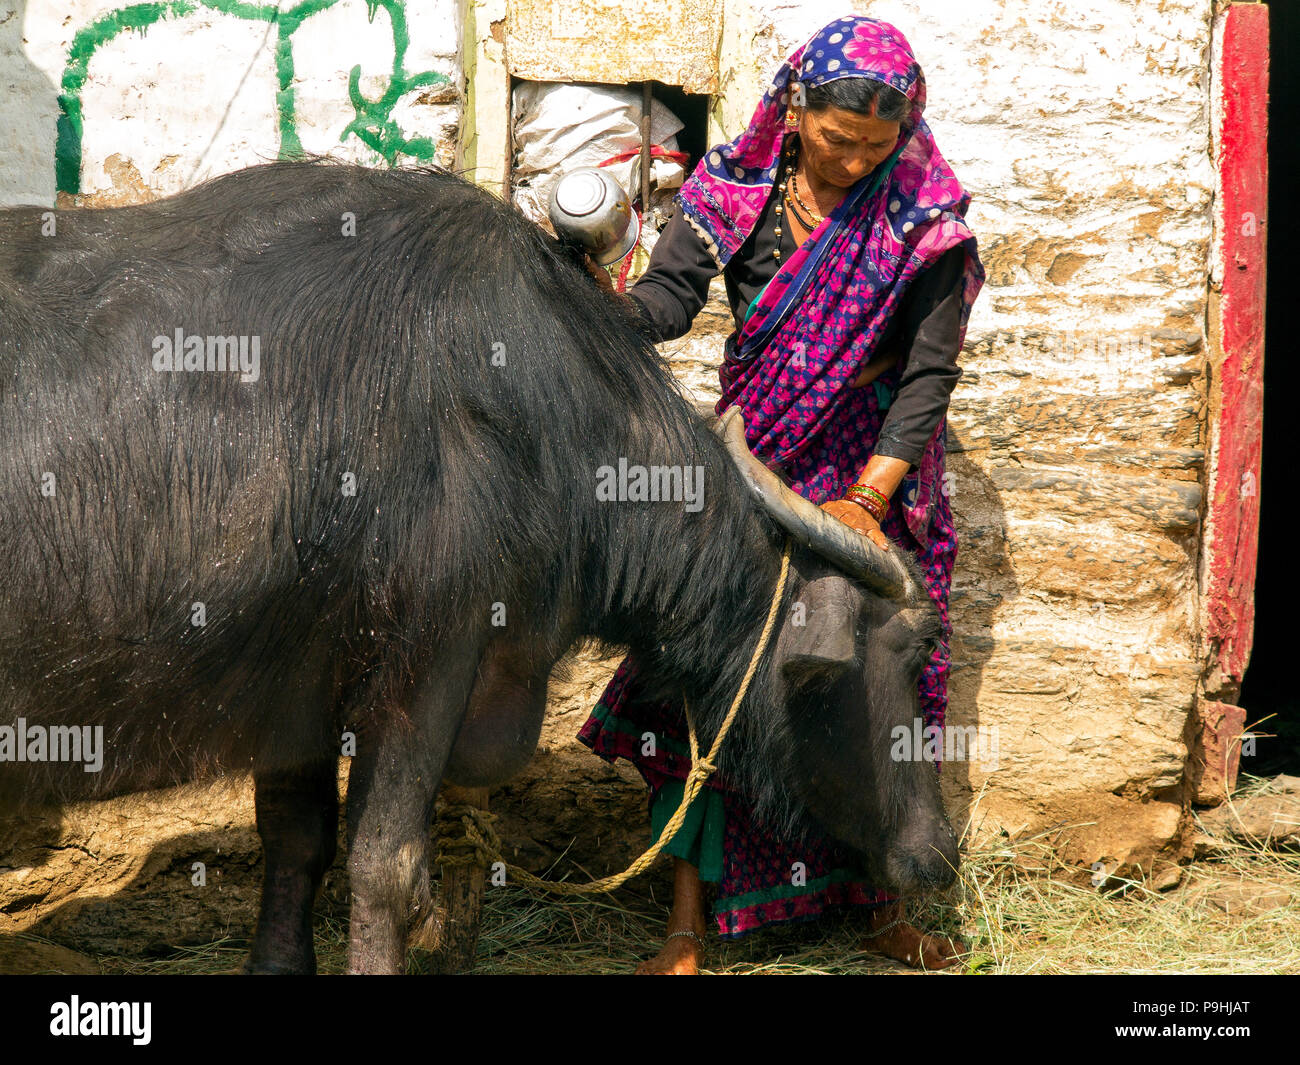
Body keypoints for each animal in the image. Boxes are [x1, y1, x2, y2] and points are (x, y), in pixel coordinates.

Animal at [0, 161, 957, 974]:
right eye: (908, 650)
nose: (938, 853)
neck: (533, 425)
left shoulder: (297, 683)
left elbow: (298, 840)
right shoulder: (428, 659)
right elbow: (384, 865)